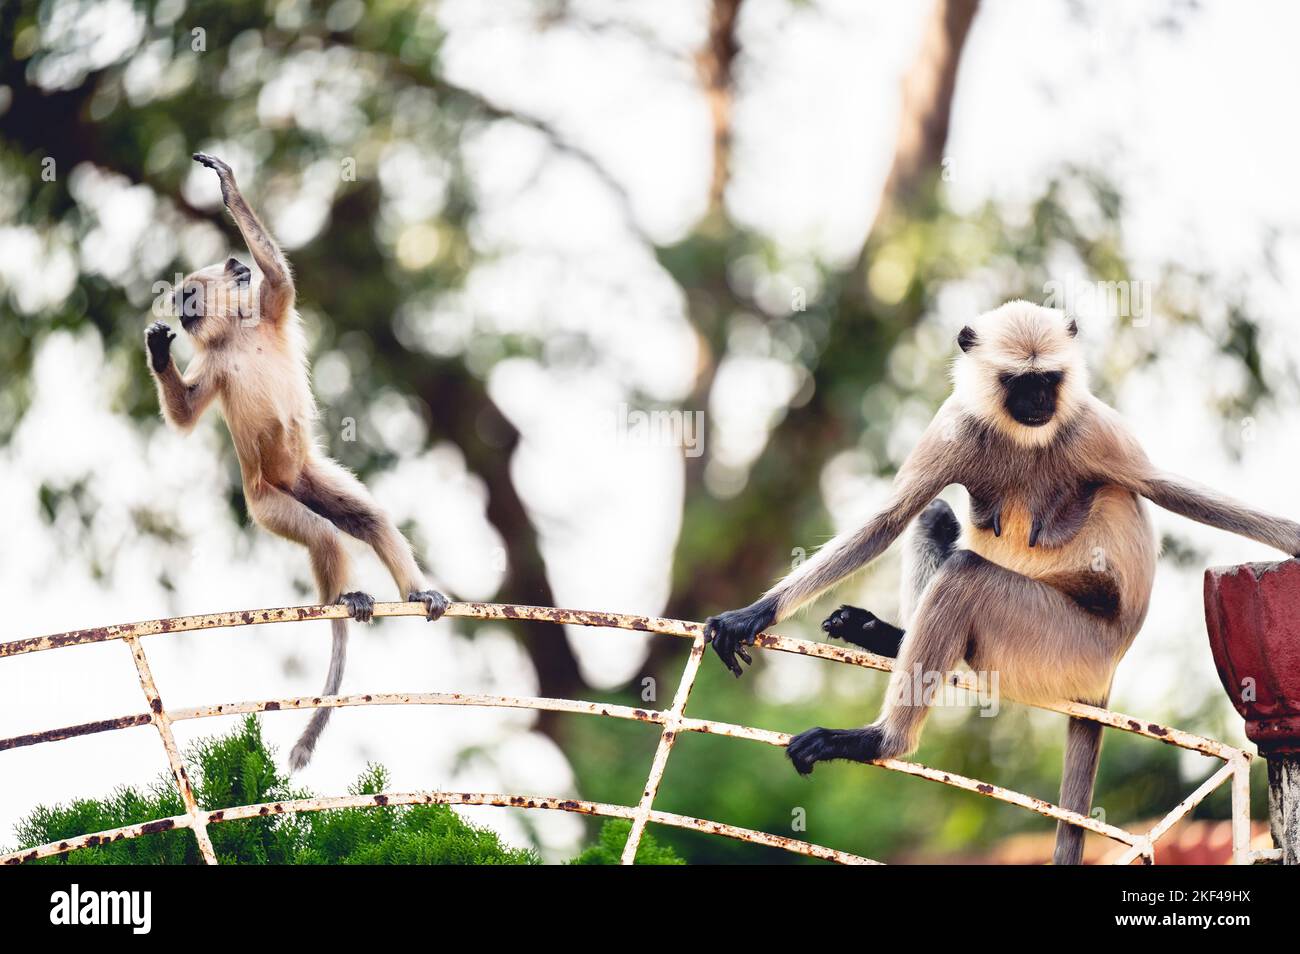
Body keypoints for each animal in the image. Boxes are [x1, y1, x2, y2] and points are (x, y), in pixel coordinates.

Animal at [146, 153, 449, 771]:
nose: (185, 314)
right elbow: (185, 416)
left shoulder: (270, 311)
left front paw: (227, 186)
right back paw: (344, 599)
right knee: (327, 535)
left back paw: (412, 592)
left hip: (307, 475)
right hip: (267, 502)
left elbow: (280, 279)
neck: (237, 336)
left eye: (191, 295)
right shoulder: (214, 365)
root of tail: (286, 478)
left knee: (365, 520)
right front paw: (160, 351)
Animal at [704, 299, 1300, 864]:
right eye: (1020, 382)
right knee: (934, 519)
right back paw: (889, 640)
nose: (1038, 404)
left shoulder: (1093, 428)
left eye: (1048, 380)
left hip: (1066, 646)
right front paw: (752, 615)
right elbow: (890, 520)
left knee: (967, 576)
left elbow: (1173, 490)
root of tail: (1106, 672)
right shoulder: (954, 424)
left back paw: (879, 742)